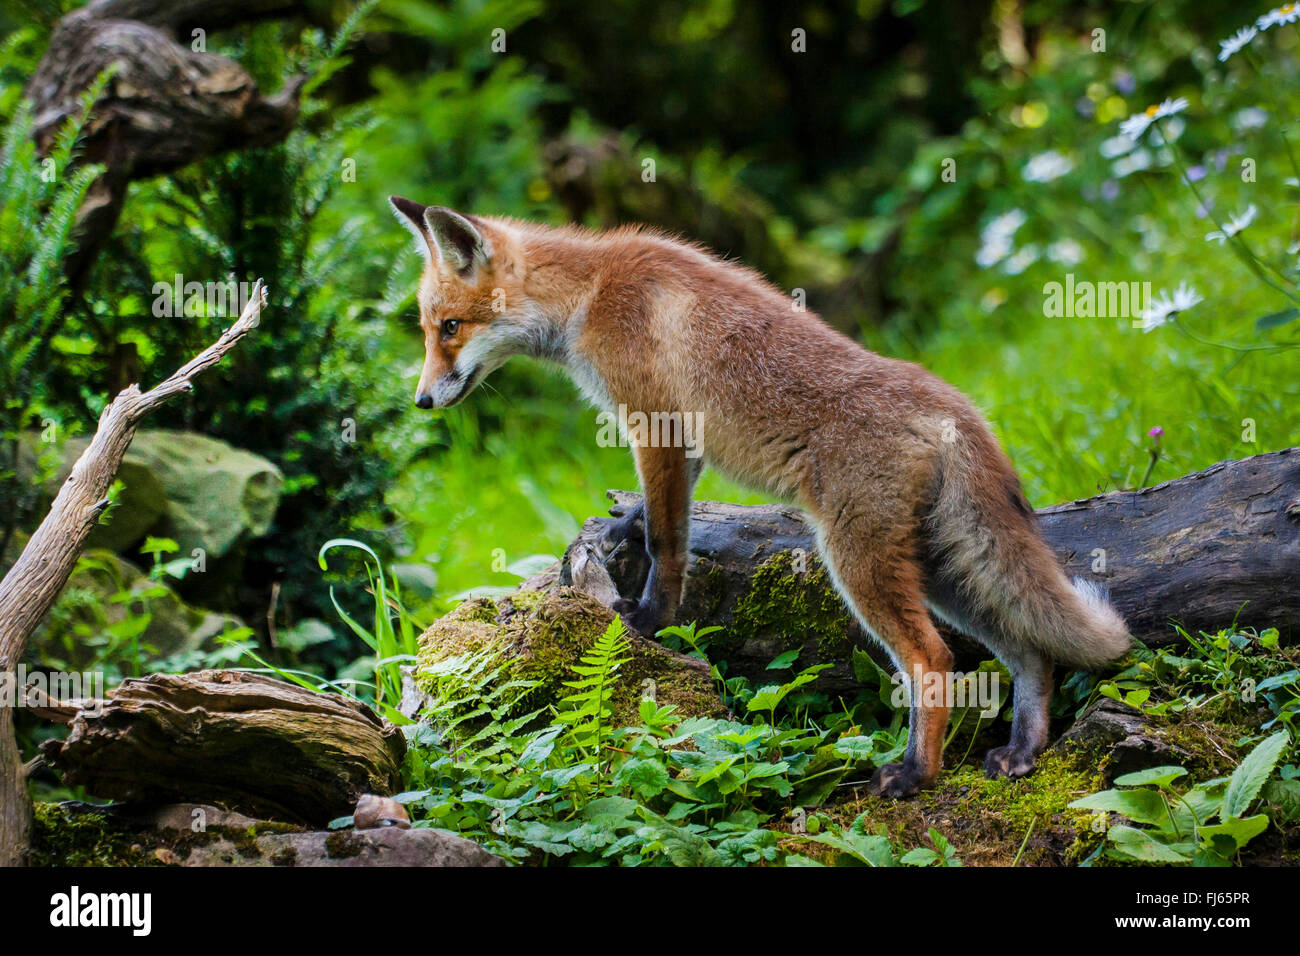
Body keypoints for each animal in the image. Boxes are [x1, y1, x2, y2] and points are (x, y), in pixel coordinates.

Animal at [388, 194, 1131, 797]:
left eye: (449, 327)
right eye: (429, 329)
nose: (421, 402)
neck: (588, 295)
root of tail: (954, 403)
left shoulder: (656, 424)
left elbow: (670, 543)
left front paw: (650, 619)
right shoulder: (680, 444)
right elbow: (654, 516)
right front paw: (621, 529)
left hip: (859, 562)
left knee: (935, 659)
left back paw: (916, 774)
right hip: (945, 571)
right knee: (1029, 650)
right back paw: (1023, 751)